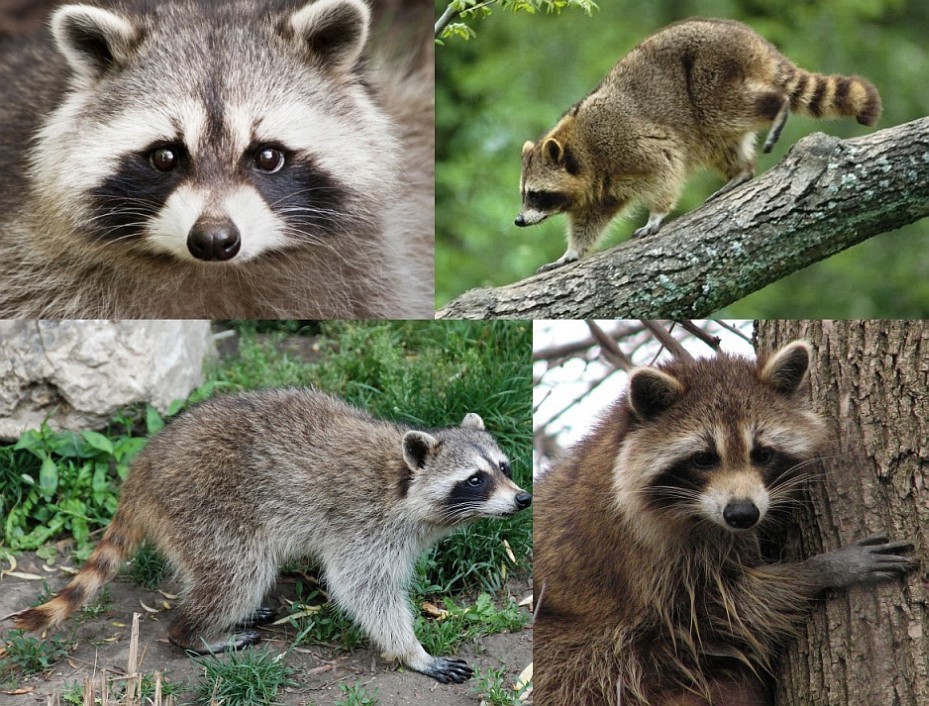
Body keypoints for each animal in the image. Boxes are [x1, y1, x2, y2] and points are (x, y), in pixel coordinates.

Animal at [0, 0, 433, 318]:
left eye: (268, 156)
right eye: (165, 156)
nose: (212, 240)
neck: (214, 273)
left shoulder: (375, 264)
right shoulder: (35, 267)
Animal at [11, 389, 531, 684]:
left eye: (503, 468)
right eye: (475, 479)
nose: (524, 499)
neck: (402, 484)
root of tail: (144, 467)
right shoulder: (364, 525)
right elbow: (365, 590)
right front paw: (412, 652)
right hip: (205, 508)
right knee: (238, 572)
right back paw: (193, 633)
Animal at [517, 18, 882, 273]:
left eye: (536, 195)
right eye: (524, 194)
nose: (518, 221)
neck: (581, 149)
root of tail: (754, 39)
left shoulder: (627, 143)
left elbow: (665, 168)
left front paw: (657, 214)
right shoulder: (600, 187)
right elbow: (589, 220)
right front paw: (571, 252)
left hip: (712, 73)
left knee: (726, 110)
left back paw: (777, 105)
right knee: (720, 140)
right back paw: (740, 171)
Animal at [533, 341, 914, 705]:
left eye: (762, 454)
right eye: (703, 459)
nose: (743, 514)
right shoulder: (646, 561)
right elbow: (714, 616)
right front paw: (821, 569)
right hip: (572, 657)